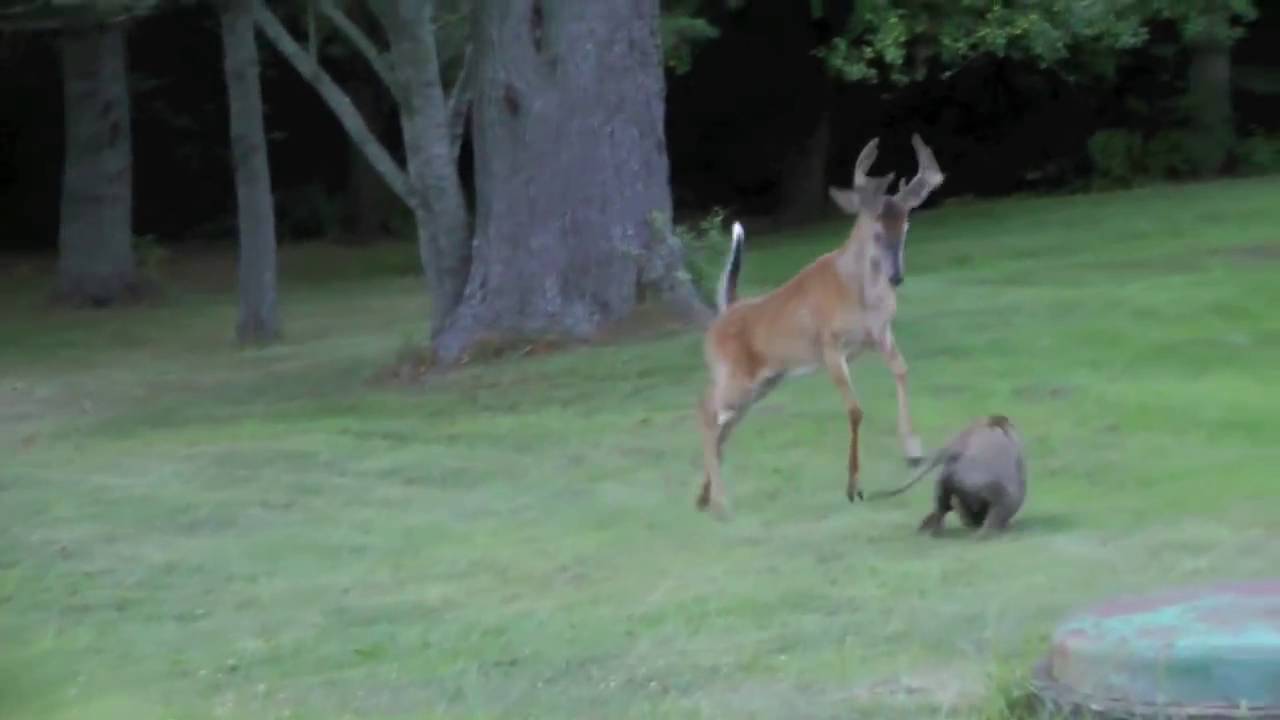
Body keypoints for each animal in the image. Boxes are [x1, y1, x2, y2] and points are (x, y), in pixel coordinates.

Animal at [695, 134, 946, 516]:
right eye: (876, 231)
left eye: (906, 225)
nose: (896, 276)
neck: (860, 296)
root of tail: (724, 314)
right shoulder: (830, 344)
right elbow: (855, 410)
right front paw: (853, 485)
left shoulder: (881, 333)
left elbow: (902, 371)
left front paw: (914, 452)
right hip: (733, 374)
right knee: (706, 411)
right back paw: (722, 504)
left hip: (763, 383)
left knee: (724, 424)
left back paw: (704, 497)